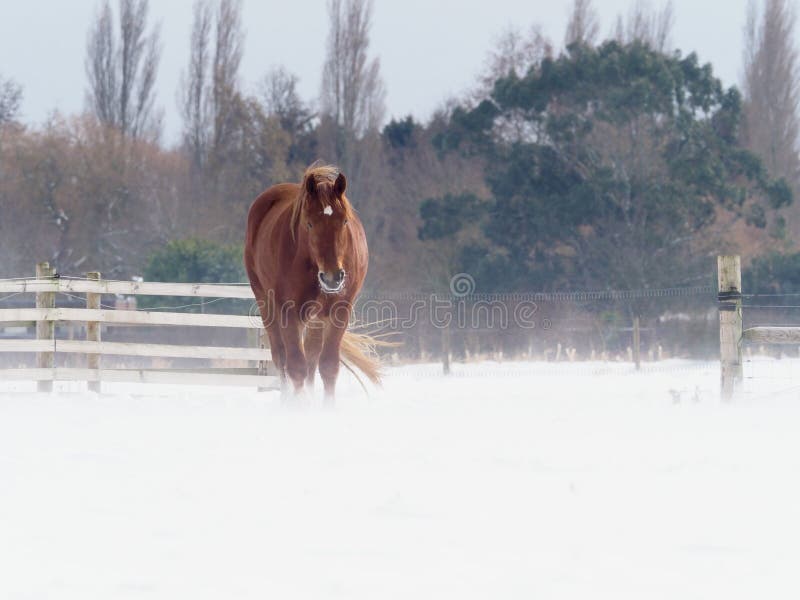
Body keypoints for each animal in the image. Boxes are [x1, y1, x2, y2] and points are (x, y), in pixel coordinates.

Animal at [244, 164, 380, 402]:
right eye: (309, 223)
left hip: (316, 319)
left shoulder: (339, 312)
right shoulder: (288, 312)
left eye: (344, 221)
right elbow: (296, 367)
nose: (333, 277)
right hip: (267, 305)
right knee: (281, 358)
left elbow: (327, 366)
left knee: (311, 359)